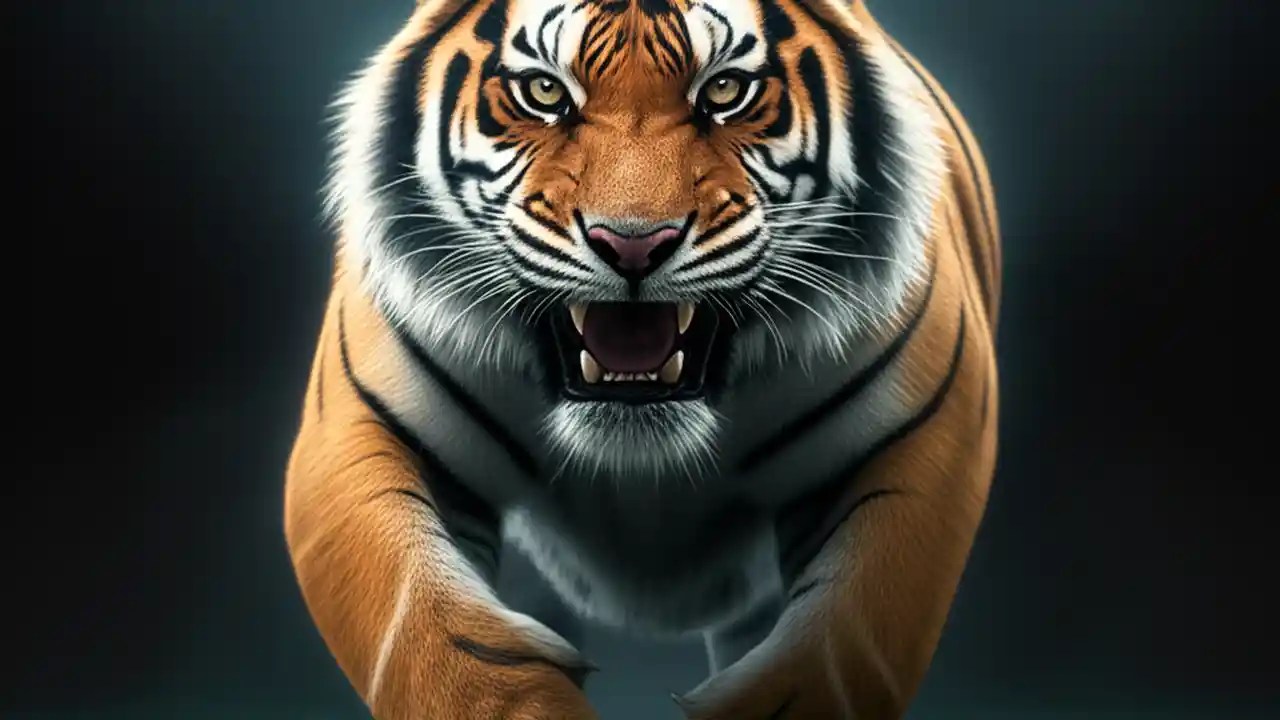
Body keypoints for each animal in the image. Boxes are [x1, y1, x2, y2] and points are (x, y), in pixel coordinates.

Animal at [284, 0, 1000, 717]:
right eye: (544, 92)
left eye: (724, 90)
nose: (632, 245)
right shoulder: (357, 431)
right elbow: (435, 633)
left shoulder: (920, 447)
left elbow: (837, 653)